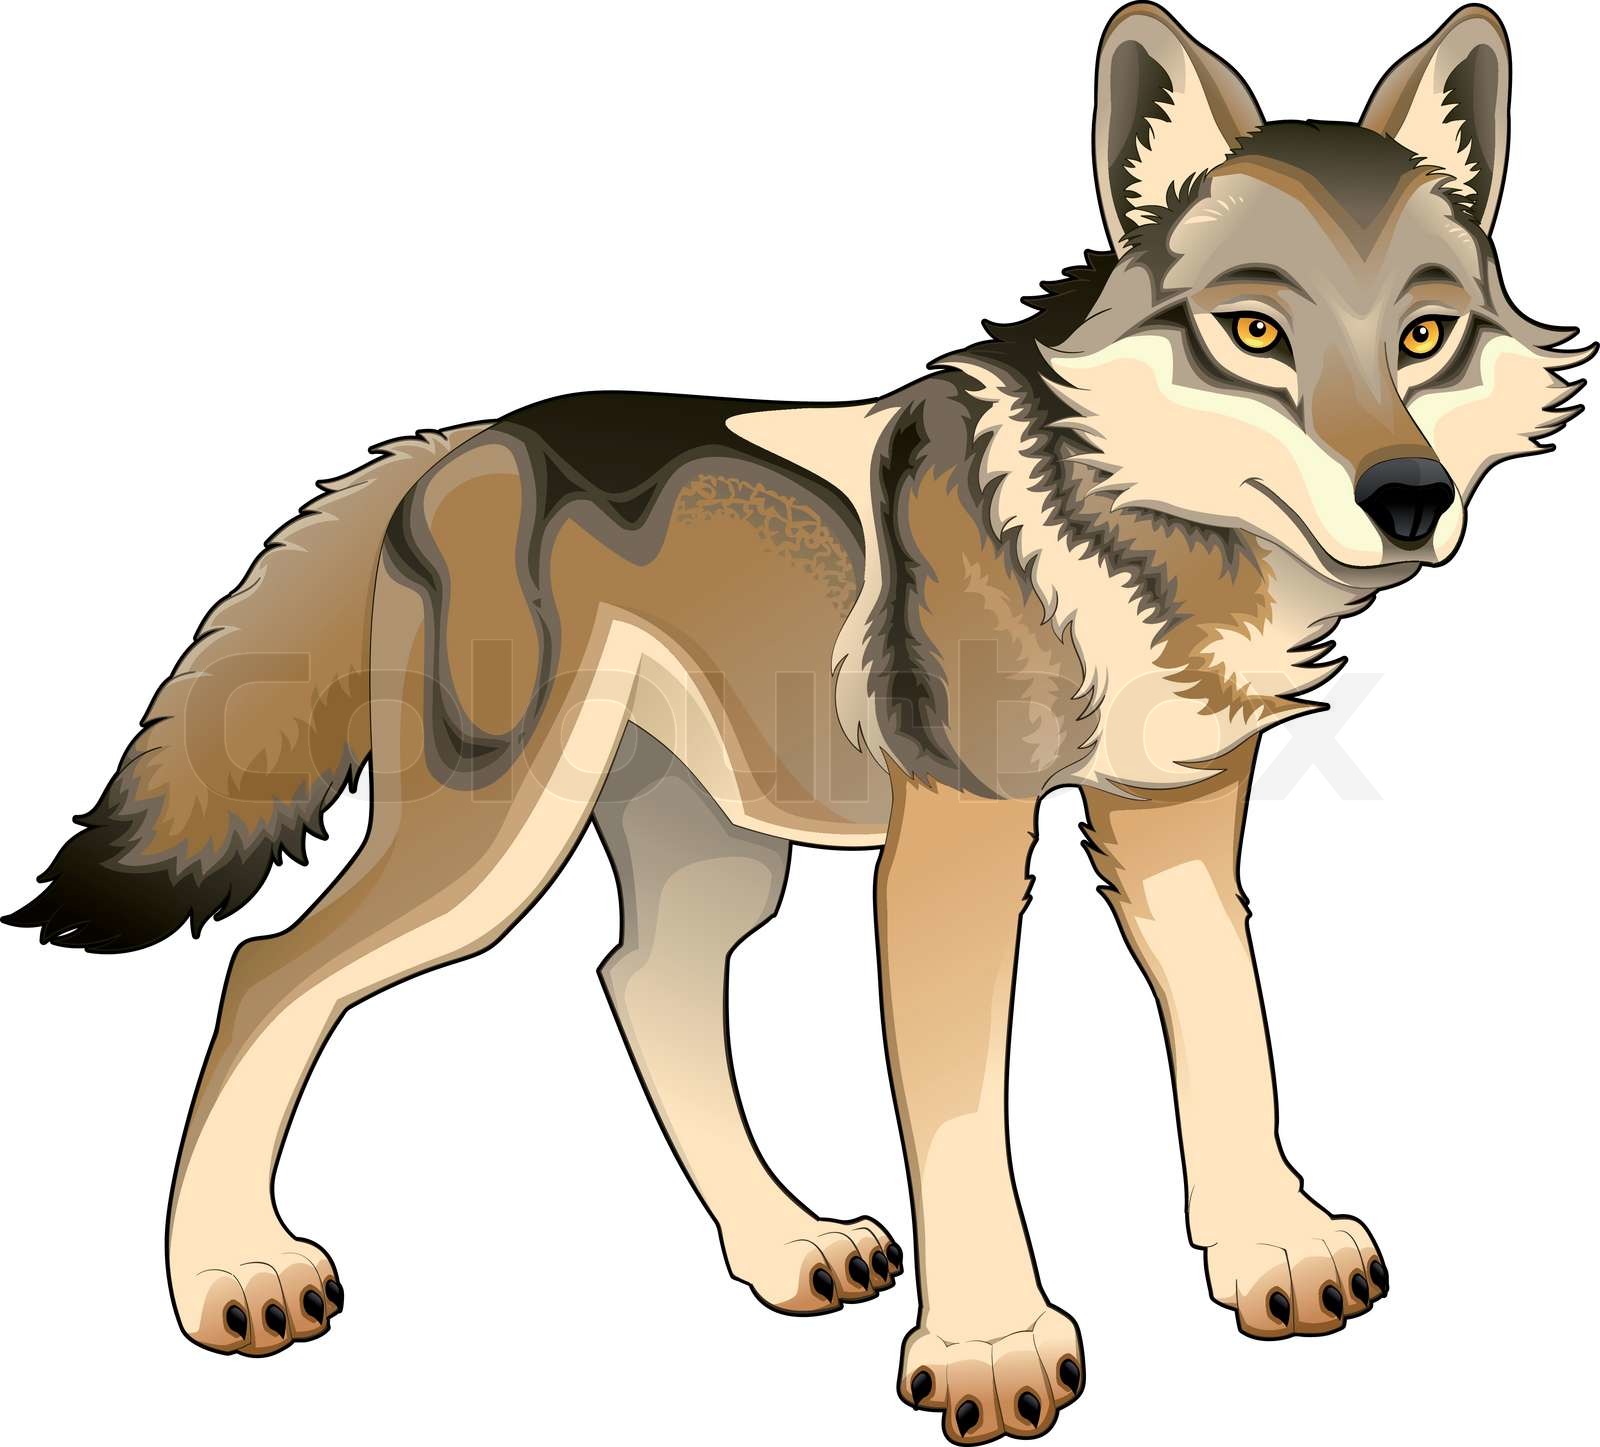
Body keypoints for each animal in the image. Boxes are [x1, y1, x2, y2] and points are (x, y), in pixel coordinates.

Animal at [6, 3, 1584, 1440]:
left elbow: (1234, 1043)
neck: (1123, 533)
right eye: (1255, 331)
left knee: (640, 983)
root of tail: (459, 439)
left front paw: (1274, 1250)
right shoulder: (955, 845)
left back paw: (787, 1247)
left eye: (1427, 334)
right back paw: (230, 1277)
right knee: (268, 970)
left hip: (716, 859)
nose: (1407, 497)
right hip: (490, 854)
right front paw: (992, 1348)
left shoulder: (1174, 820)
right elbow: (961, 1117)